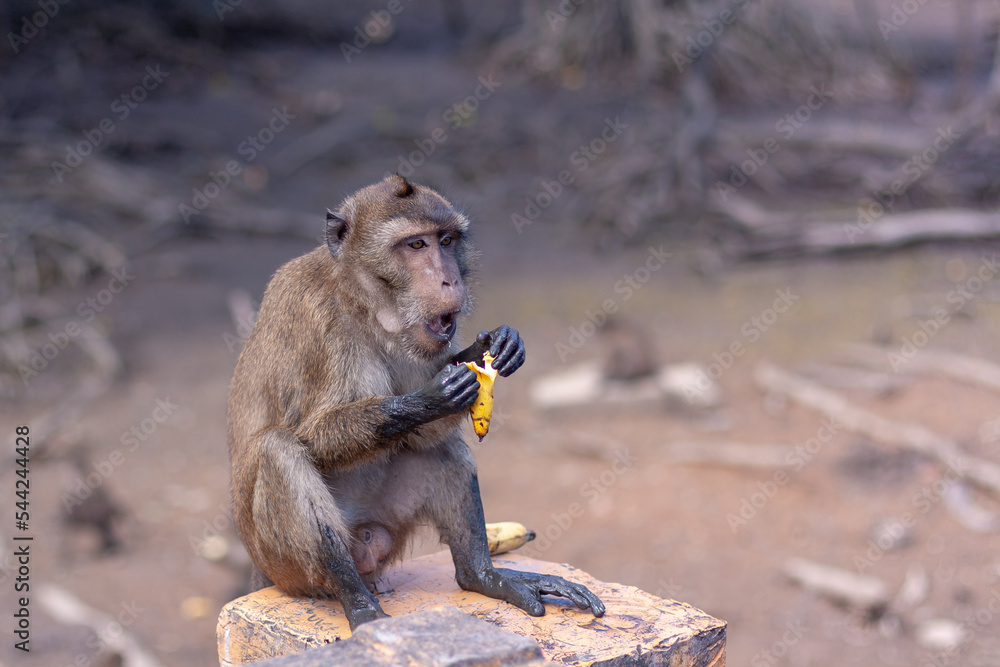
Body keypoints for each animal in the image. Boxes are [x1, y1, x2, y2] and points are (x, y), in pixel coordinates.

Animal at [228, 174, 605, 629]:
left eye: (446, 240)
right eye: (416, 245)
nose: (449, 281)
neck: (365, 304)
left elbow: (426, 436)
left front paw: (492, 346)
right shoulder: (316, 320)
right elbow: (312, 434)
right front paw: (428, 399)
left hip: (386, 526)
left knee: (438, 450)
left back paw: (483, 576)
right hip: (286, 568)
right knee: (277, 449)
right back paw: (360, 606)